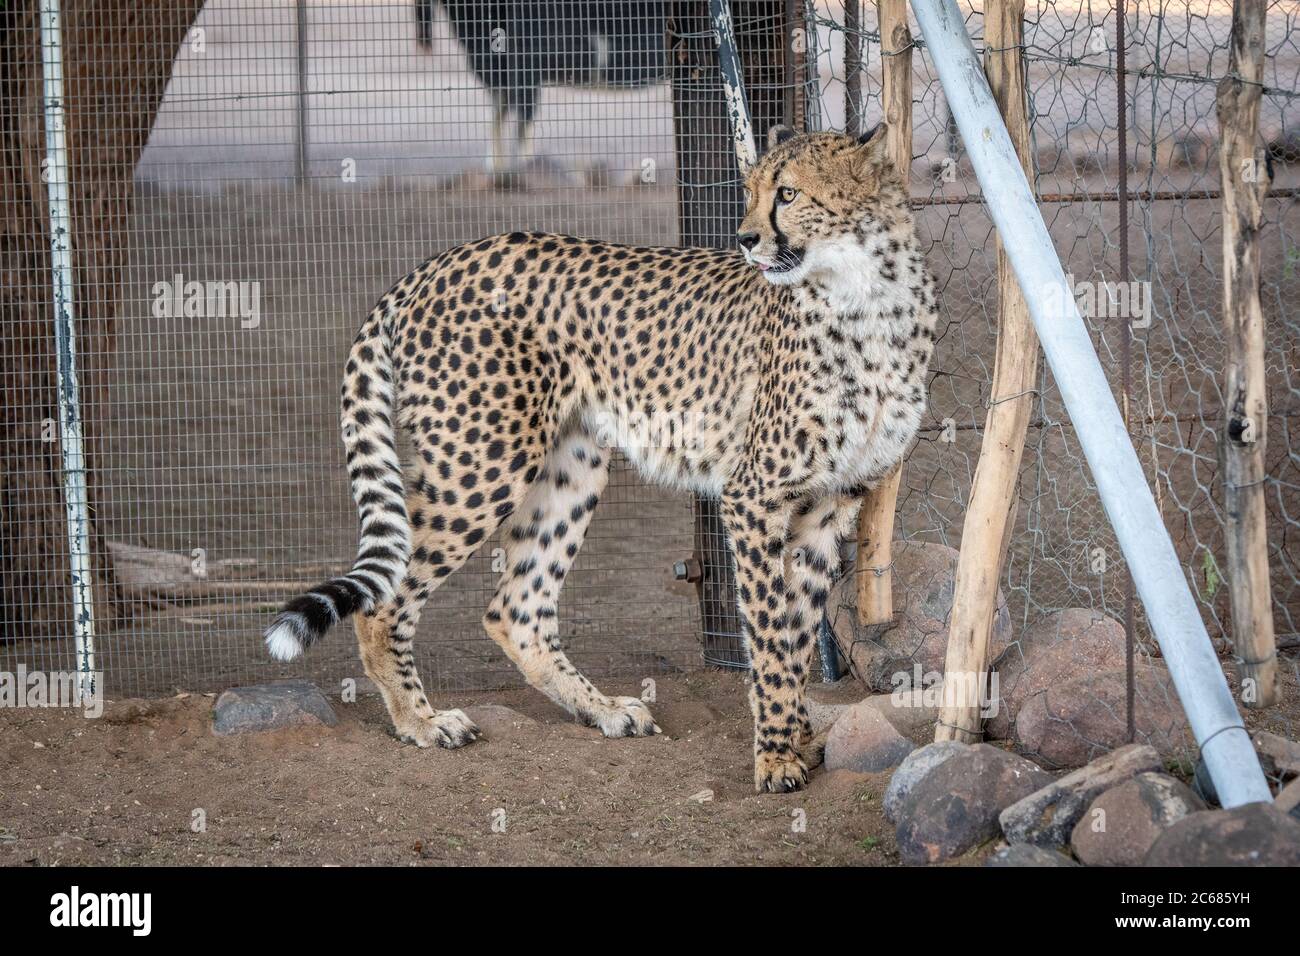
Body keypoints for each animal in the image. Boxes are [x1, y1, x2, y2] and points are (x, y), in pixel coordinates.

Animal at [264, 124, 939, 793]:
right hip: (485, 461)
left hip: (572, 465)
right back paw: (421, 722)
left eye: (789, 193)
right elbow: (772, 634)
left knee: (516, 608)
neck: (868, 295)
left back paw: (604, 709)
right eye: (750, 191)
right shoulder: (754, 497)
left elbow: (797, 633)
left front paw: (796, 738)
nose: (745, 238)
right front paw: (774, 757)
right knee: (387, 601)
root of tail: (438, 262)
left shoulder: (831, 501)